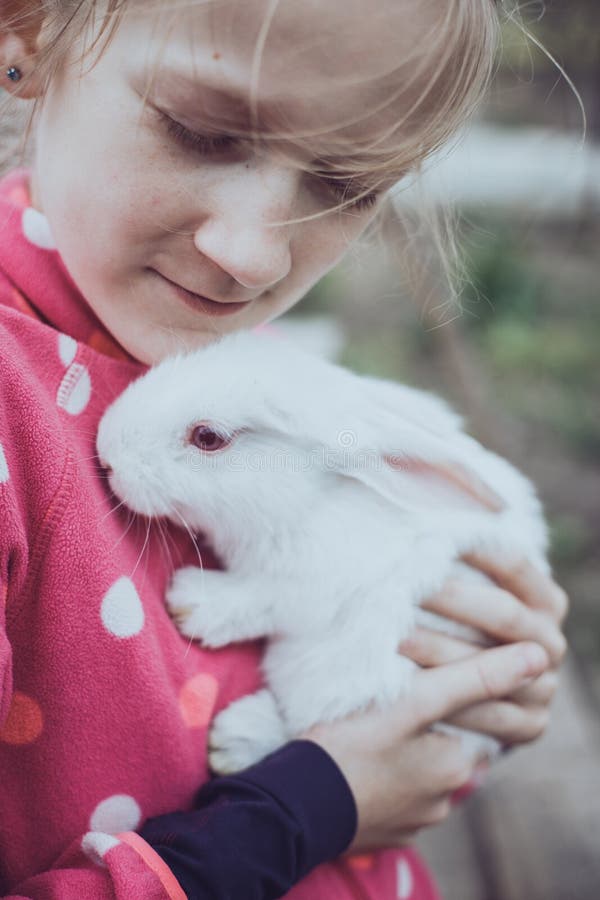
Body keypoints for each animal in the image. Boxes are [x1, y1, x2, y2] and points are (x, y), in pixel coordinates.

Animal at [96, 329, 549, 774]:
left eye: (208, 437)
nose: (107, 452)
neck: (313, 499)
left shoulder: (322, 580)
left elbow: (264, 599)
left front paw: (192, 602)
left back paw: (234, 739)